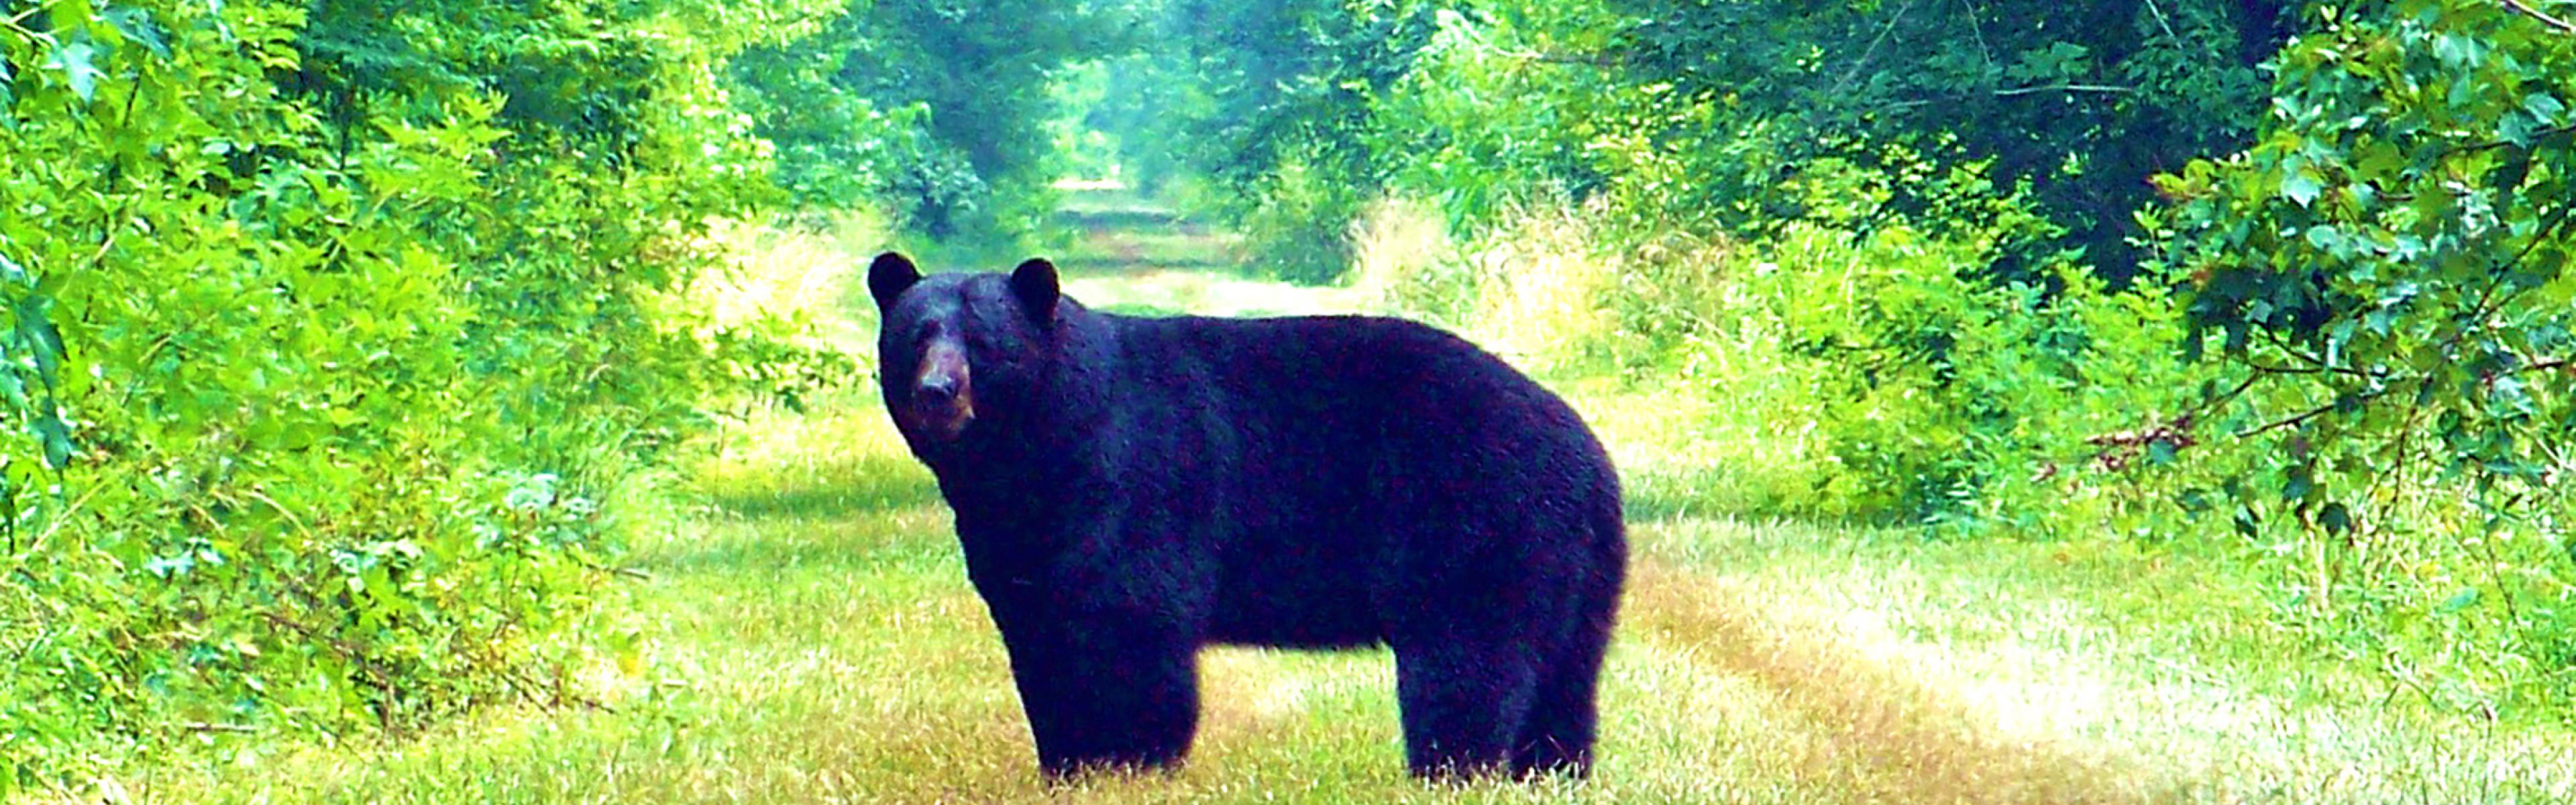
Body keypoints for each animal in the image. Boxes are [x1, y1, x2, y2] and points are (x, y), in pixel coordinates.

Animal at [875, 250, 1617, 779]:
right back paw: (1550, 769)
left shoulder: (1133, 484)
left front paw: (1130, 760)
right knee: (1566, 670)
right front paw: (1067, 762)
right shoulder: (1017, 530)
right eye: (916, 337)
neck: (1041, 447)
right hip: (1573, 564)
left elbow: (1131, 622)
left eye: (984, 342)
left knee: (1469, 658)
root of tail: (1585, 450)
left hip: (1475, 521)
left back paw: (1451, 768)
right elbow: (1041, 634)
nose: (938, 392)